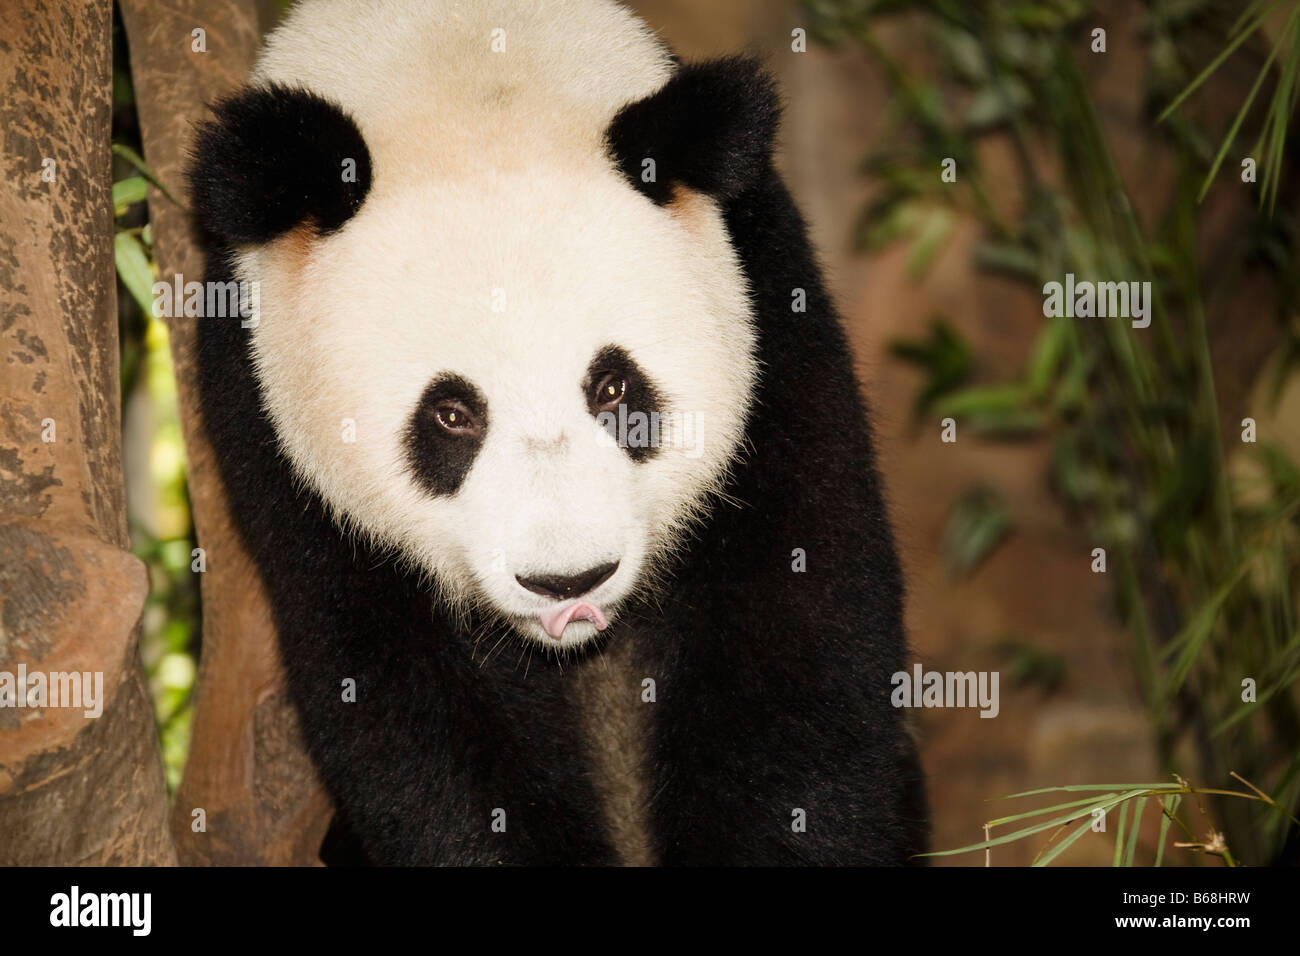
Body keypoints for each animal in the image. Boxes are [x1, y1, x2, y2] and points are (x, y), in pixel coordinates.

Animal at [189, 0, 929, 865]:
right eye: (451, 414)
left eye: (613, 389)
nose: (568, 581)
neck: (468, 64)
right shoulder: (267, 419)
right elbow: (411, 709)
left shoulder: (768, 307)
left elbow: (799, 642)